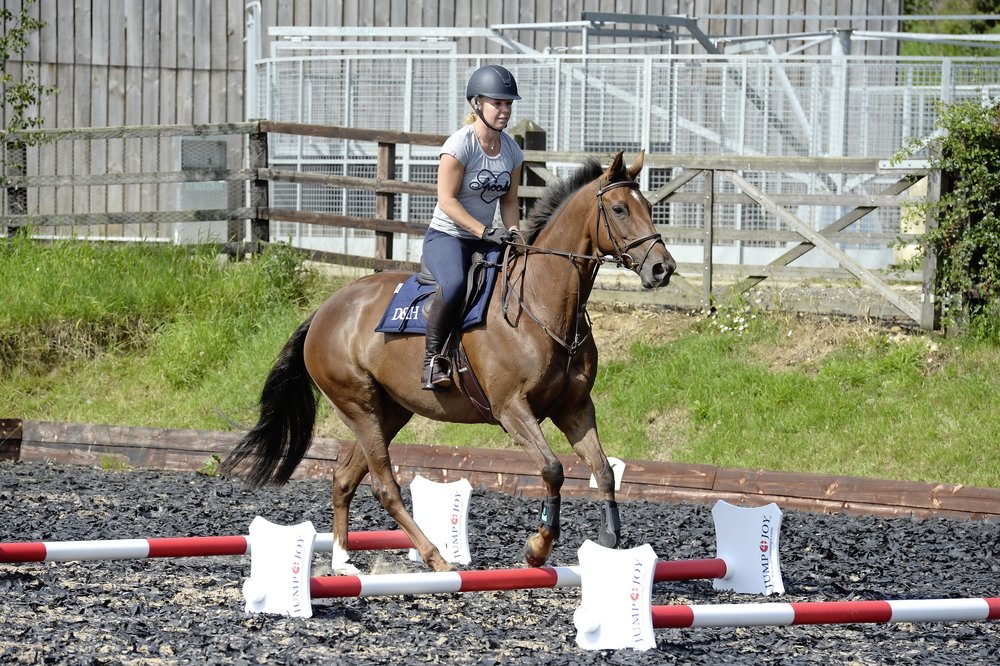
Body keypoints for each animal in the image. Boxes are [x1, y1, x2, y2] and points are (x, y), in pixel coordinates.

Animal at [220, 150, 676, 573]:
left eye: (648, 207)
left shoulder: (575, 408)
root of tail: (324, 311)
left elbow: (603, 469)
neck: (542, 303)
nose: (663, 268)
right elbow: (551, 469)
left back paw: (343, 562)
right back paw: (436, 558)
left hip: (390, 411)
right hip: (358, 405)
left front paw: (609, 537)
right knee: (384, 485)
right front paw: (537, 548)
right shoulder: (511, 408)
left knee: (345, 478)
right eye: (619, 209)